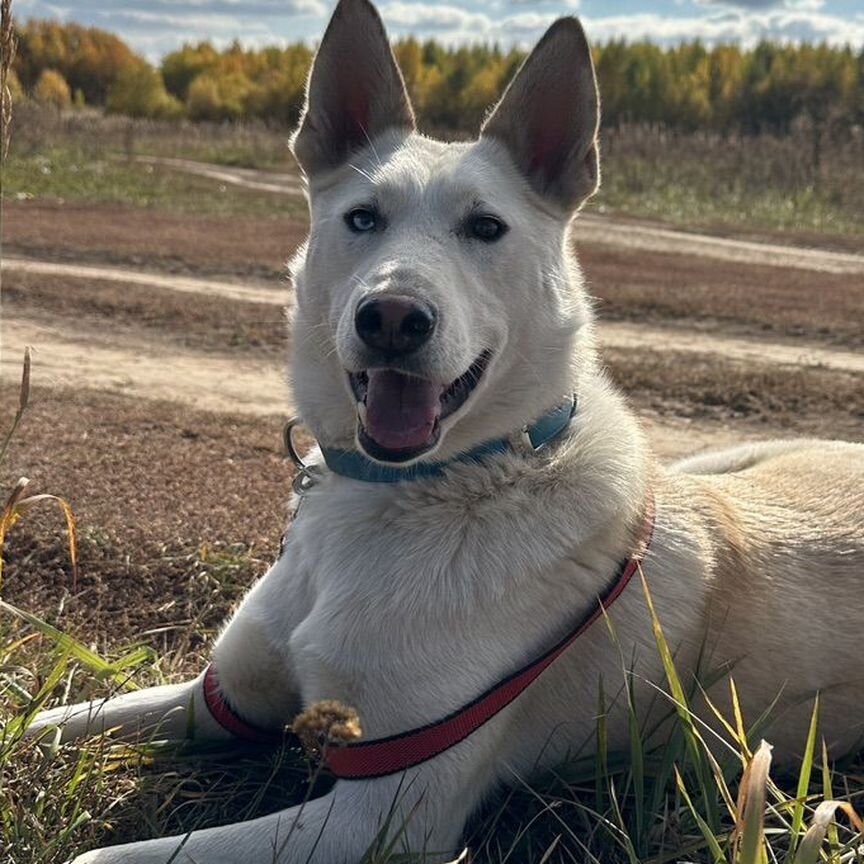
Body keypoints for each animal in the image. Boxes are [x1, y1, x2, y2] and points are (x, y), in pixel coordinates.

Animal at [27, 1, 864, 864]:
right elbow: (38, 724)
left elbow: (96, 855)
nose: (393, 317)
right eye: (362, 218)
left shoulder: (382, 812)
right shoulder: (217, 697)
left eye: (486, 228)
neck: (412, 492)